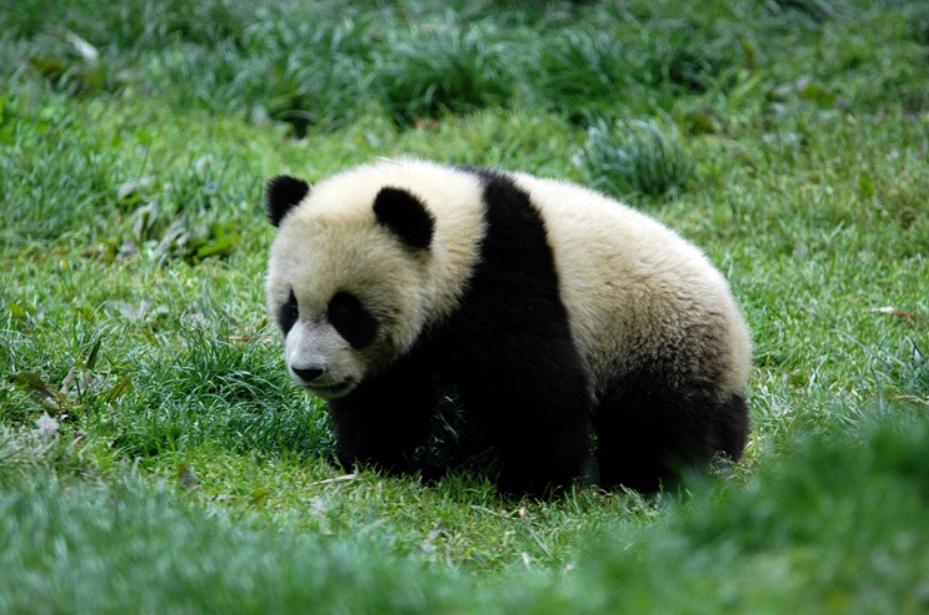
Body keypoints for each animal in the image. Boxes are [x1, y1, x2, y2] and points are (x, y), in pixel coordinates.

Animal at [264, 158, 751, 495]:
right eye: (291, 307)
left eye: (346, 313)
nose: (309, 370)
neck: (463, 233)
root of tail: (739, 337)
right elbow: (389, 396)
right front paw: (369, 458)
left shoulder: (507, 277)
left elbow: (535, 389)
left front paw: (532, 482)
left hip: (659, 336)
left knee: (660, 422)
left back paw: (645, 477)